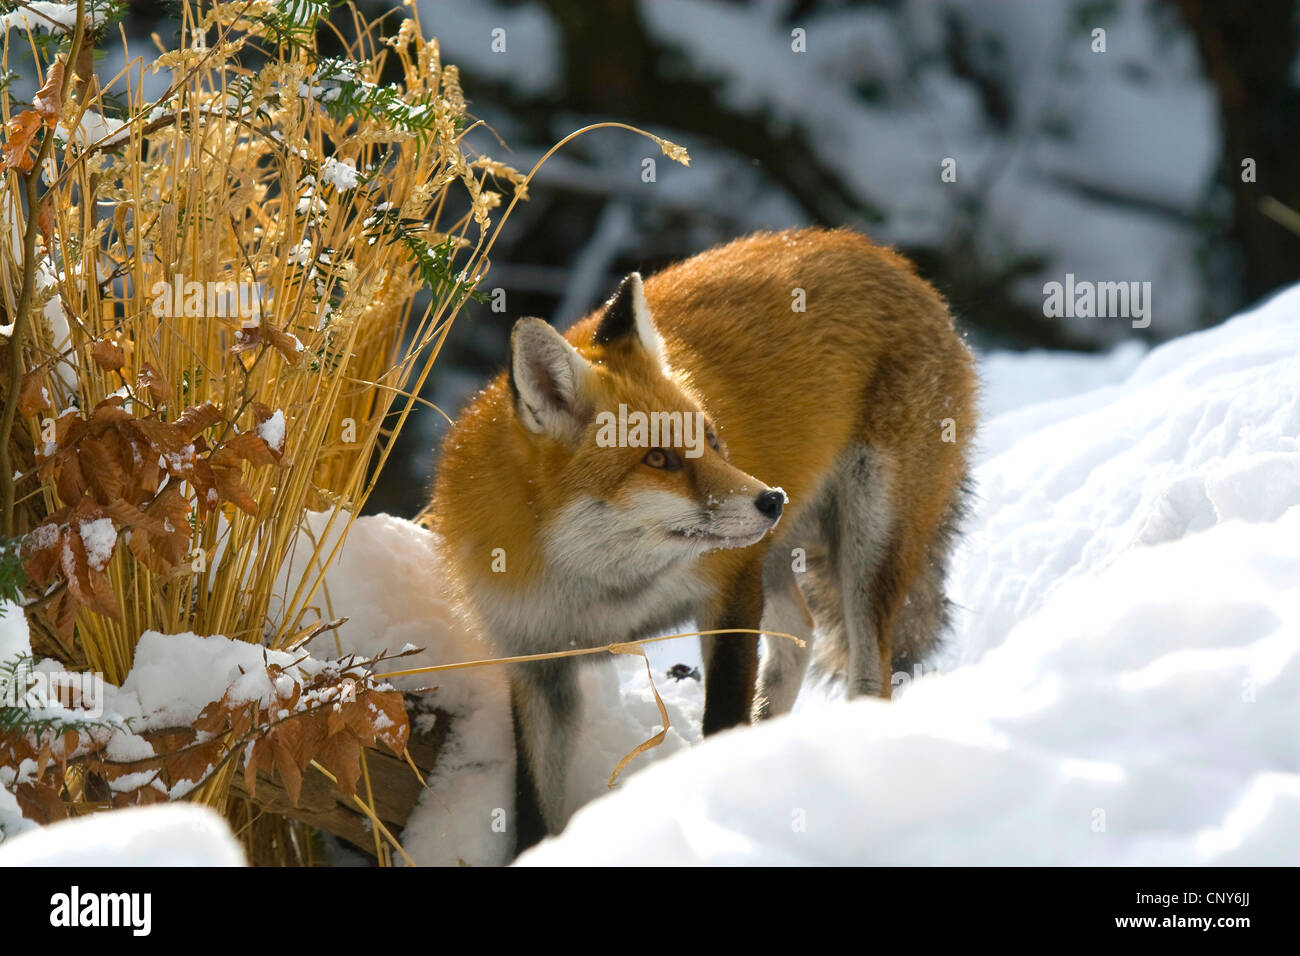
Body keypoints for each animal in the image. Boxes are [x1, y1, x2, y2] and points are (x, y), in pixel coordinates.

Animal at [431, 227, 976, 846]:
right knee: (802, 633)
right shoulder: (534, 661)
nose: (772, 499)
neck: (598, 588)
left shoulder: (728, 588)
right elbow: (532, 806)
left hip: (865, 551)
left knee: (868, 672)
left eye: (712, 439)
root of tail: (882, 254)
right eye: (658, 459)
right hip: (781, 562)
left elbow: (722, 716)